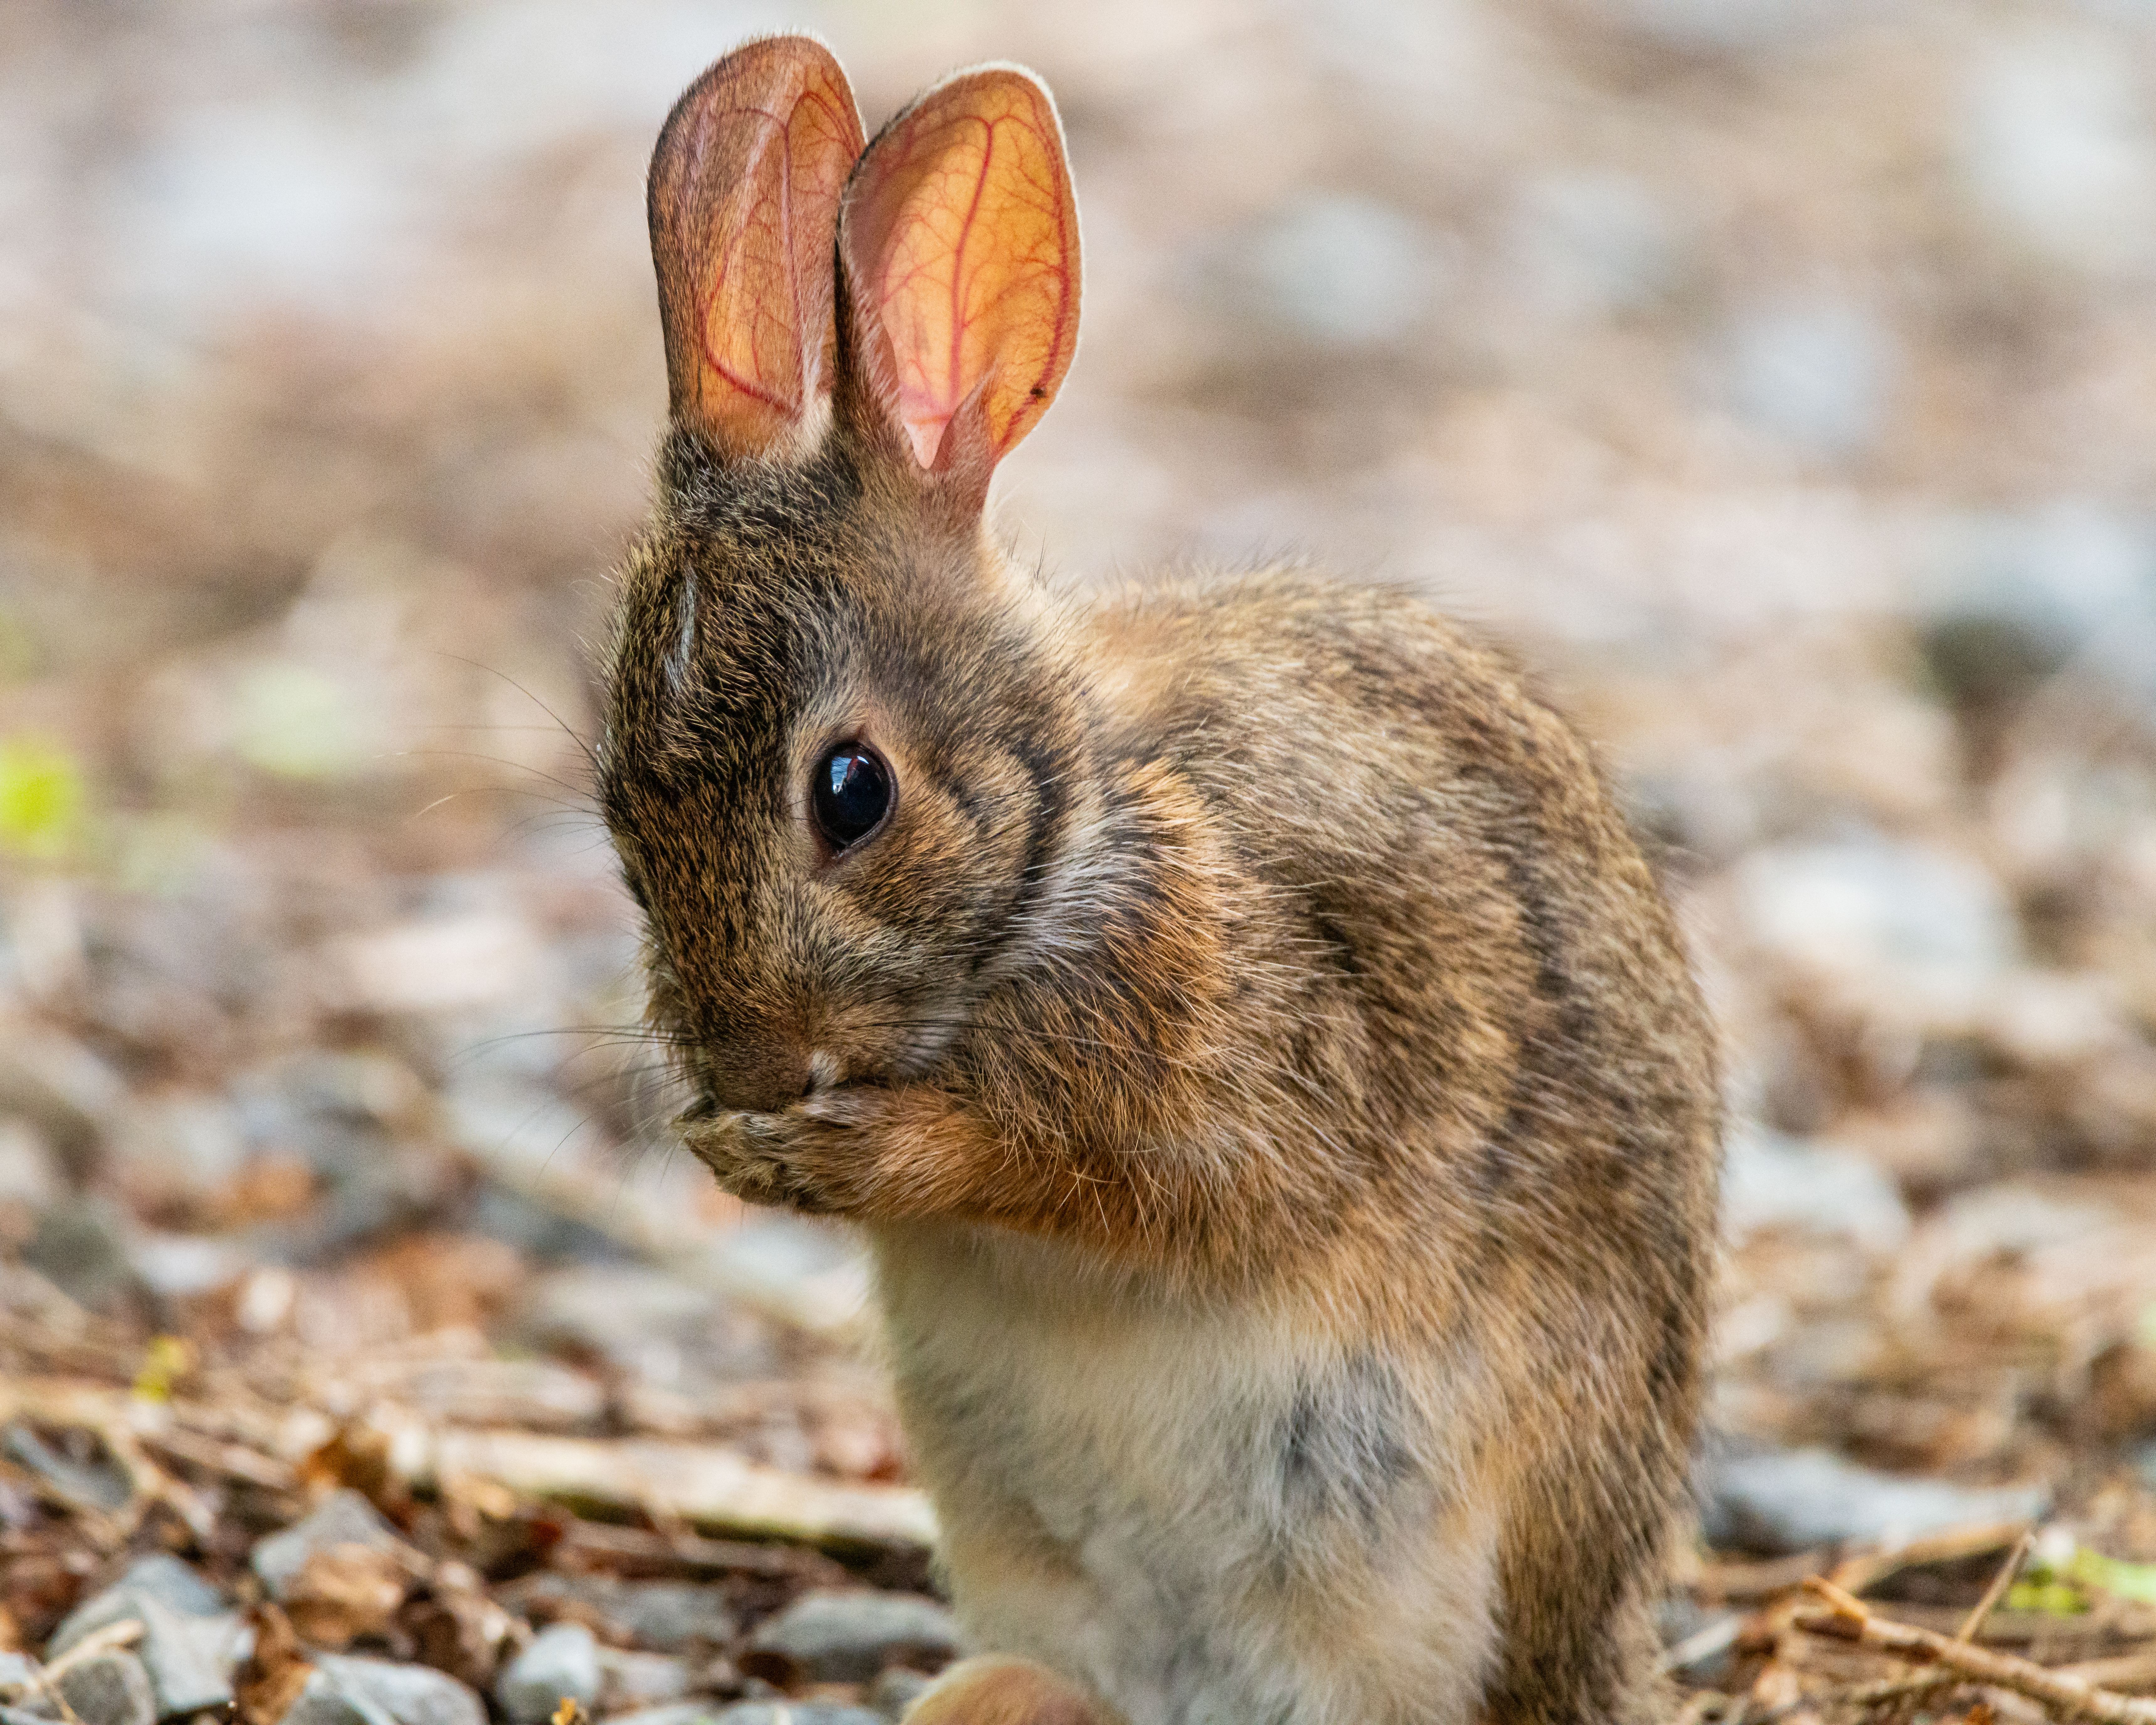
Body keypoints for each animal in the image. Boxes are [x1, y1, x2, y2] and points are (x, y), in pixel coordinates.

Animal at [599, 34, 1720, 1725]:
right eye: (615, 806)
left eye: (850, 792)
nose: (747, 1063)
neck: (1061, 839)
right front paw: (731, 1146)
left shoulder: (1265, 1056)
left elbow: (1133, 1178)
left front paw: (854, 1150)